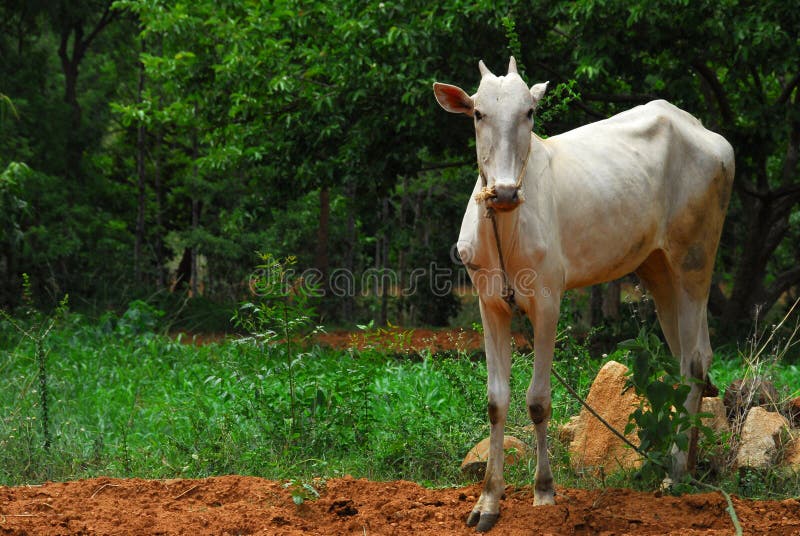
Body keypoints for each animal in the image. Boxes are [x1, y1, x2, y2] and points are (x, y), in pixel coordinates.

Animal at [433, 57, 734, 532]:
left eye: (530, 112)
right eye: (478, 114)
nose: (504, 192)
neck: (504, 227)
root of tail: (709, 135)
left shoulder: (548, 301)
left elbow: (537, 401)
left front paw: (544, 491)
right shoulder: (489, 303)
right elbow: (496, 402)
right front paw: (488, 502)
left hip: (695, 259)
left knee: (693, 363)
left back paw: (675, 472)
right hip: (657, 268)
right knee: (693, 355)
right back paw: (686, 463)